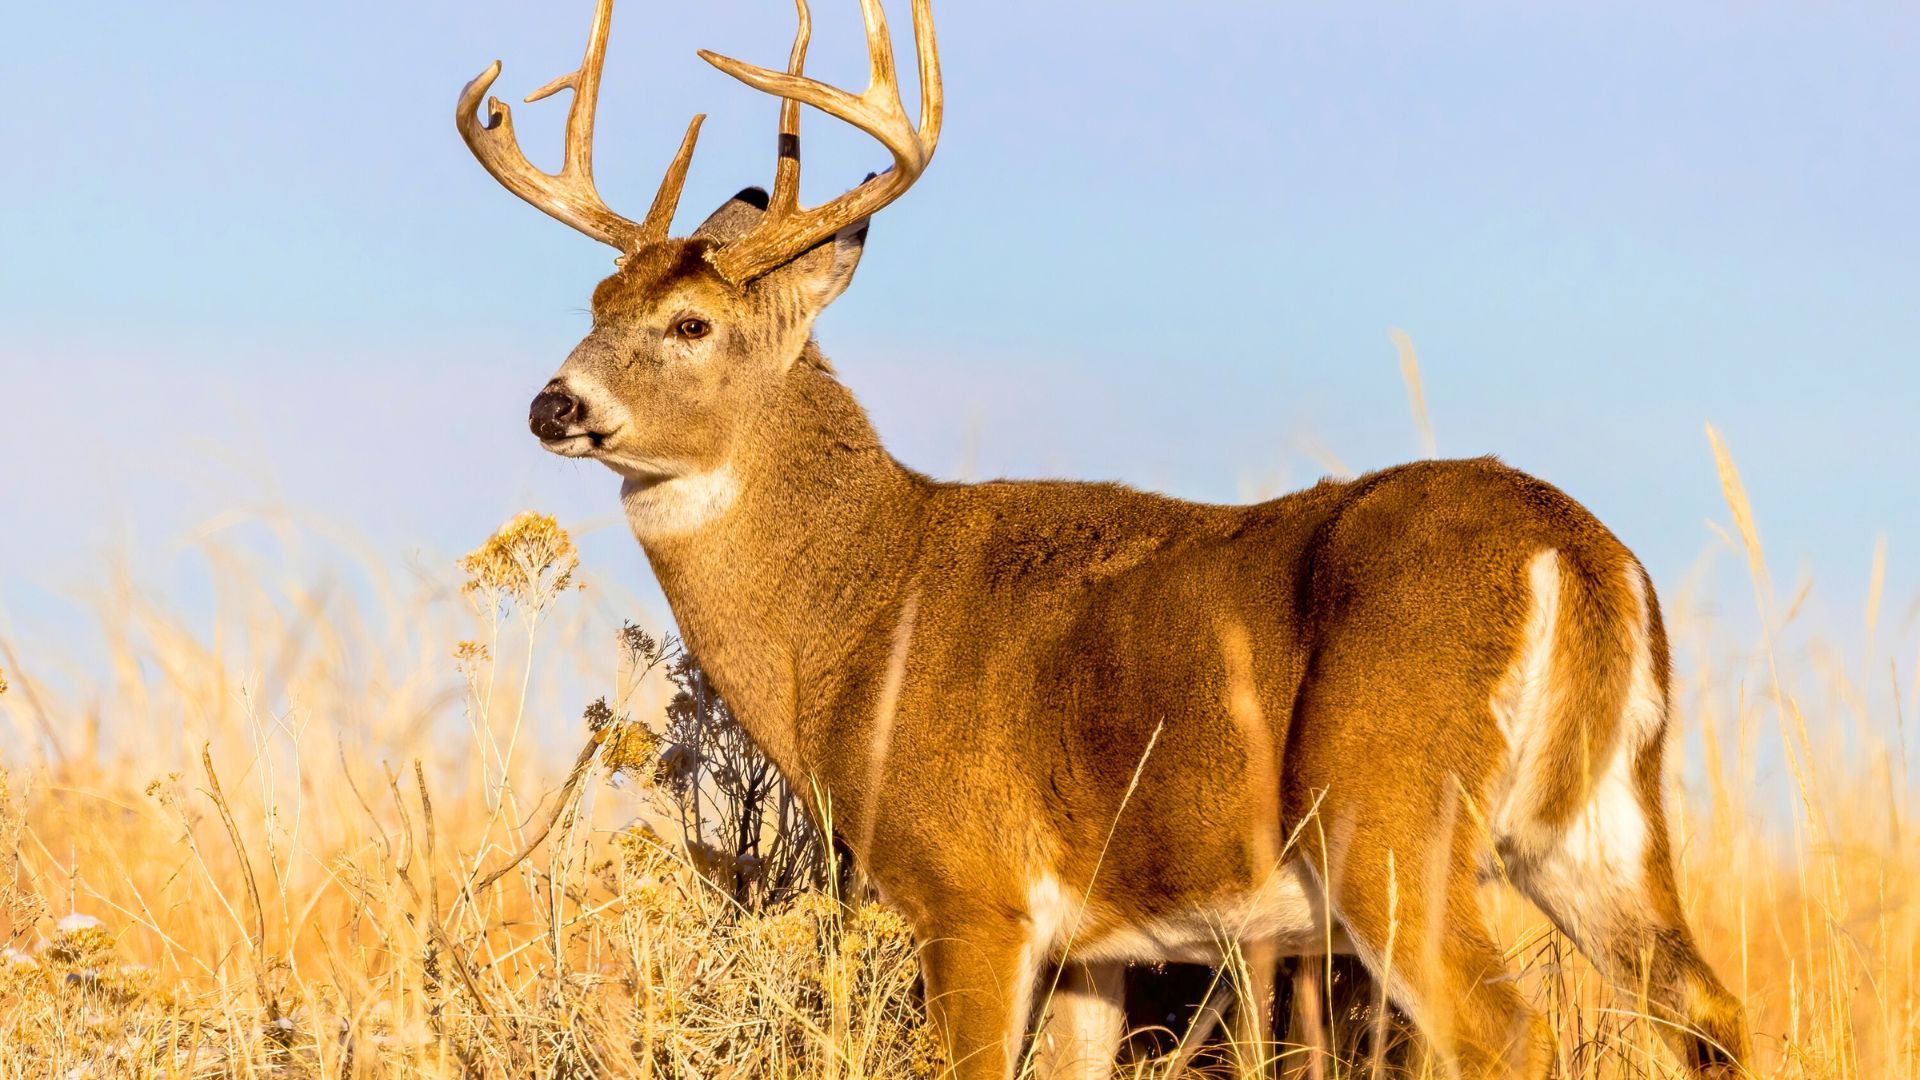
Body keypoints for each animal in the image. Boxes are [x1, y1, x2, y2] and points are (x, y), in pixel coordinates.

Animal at [457, 1, 1749, 1076]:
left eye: (690, 323)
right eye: (594, 304)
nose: (553, 404)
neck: (860, 614)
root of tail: (1576, 554)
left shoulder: (972, 892)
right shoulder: (1098, 942)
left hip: (1388, 811)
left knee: (1504, 1028)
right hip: (1601, 821)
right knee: (1709, 1013)